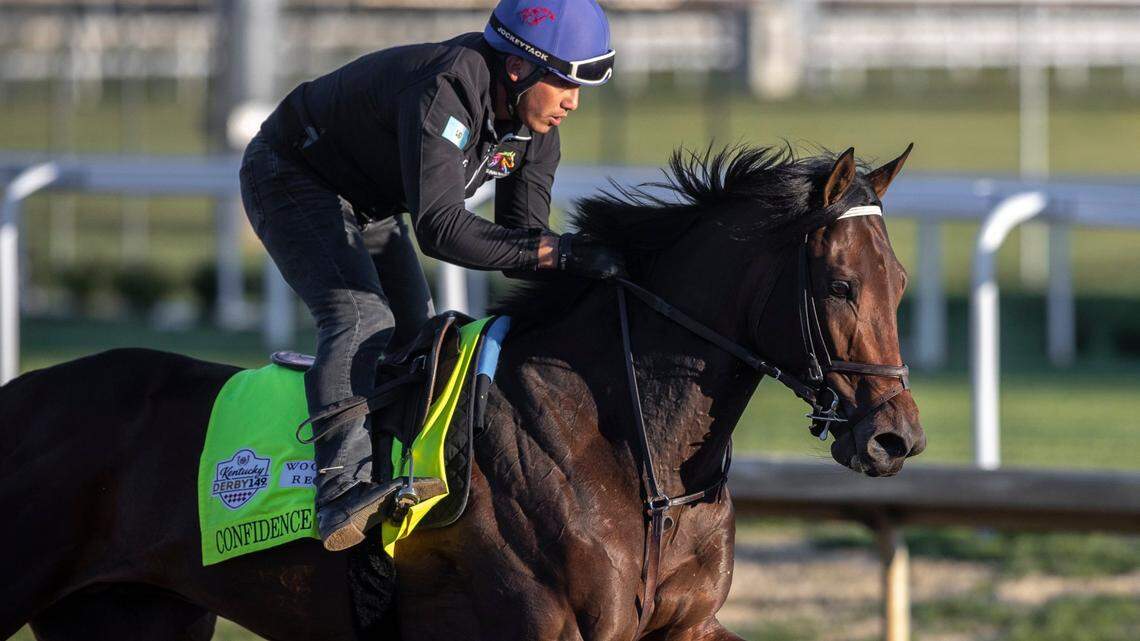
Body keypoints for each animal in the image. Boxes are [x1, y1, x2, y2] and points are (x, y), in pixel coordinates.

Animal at [1, 143, 924, 641]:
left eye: (902, 282)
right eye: (840, 284)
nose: (897, 438)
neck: (631, 450)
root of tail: (22, 396)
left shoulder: (681, 621)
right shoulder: (545, 625)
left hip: (132, 611)